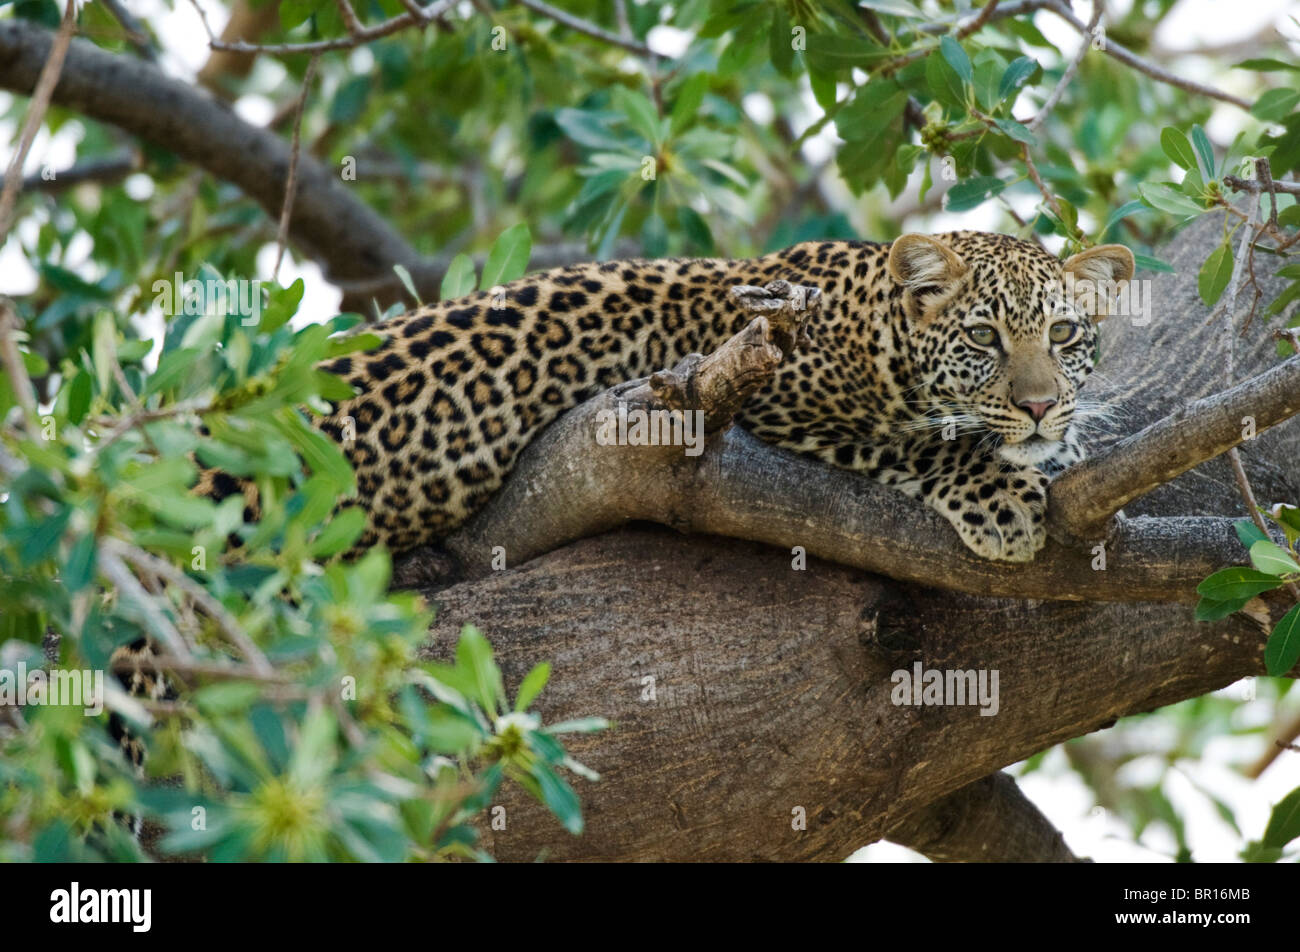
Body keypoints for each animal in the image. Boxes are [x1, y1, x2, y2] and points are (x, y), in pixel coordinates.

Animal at [199, 230, 1134, 564]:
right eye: (982, 339)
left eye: (1063, 335)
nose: (1041, 405)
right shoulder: (771, 402)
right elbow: (917, 440)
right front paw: (1005, 494)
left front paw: (1065, 438)